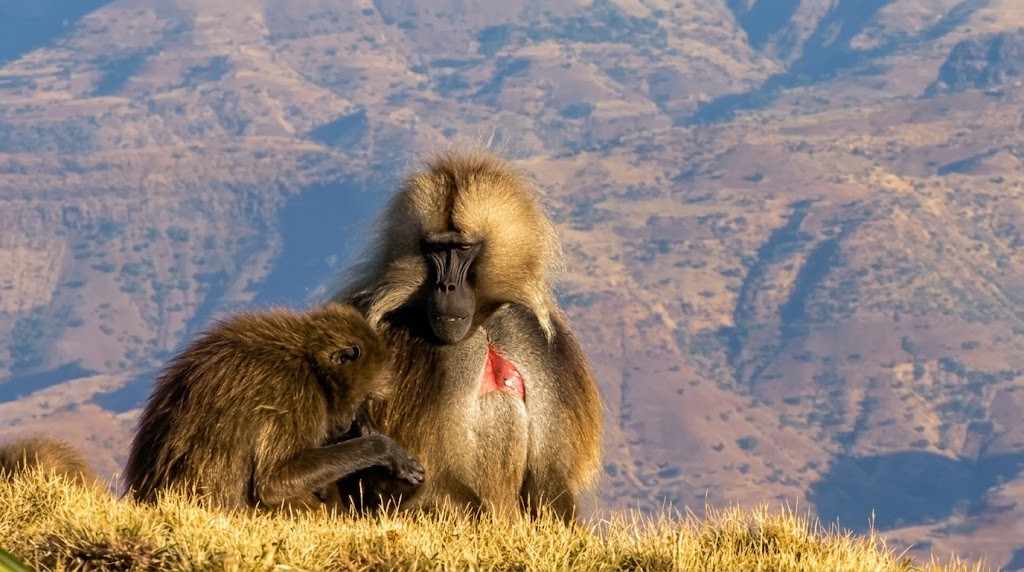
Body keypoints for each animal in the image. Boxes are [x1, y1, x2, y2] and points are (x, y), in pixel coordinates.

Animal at [122, 302, 425, 512]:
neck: (307, 359)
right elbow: (275, 481)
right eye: (361, 397)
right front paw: (383, 449)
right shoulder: (294, 394)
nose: (349, 419)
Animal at [328, 143, 604, 521]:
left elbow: (550, 484)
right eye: (434, 249)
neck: (481, 327)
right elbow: (435, 477)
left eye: (462, 248)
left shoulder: (532, 336)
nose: (447, 288)